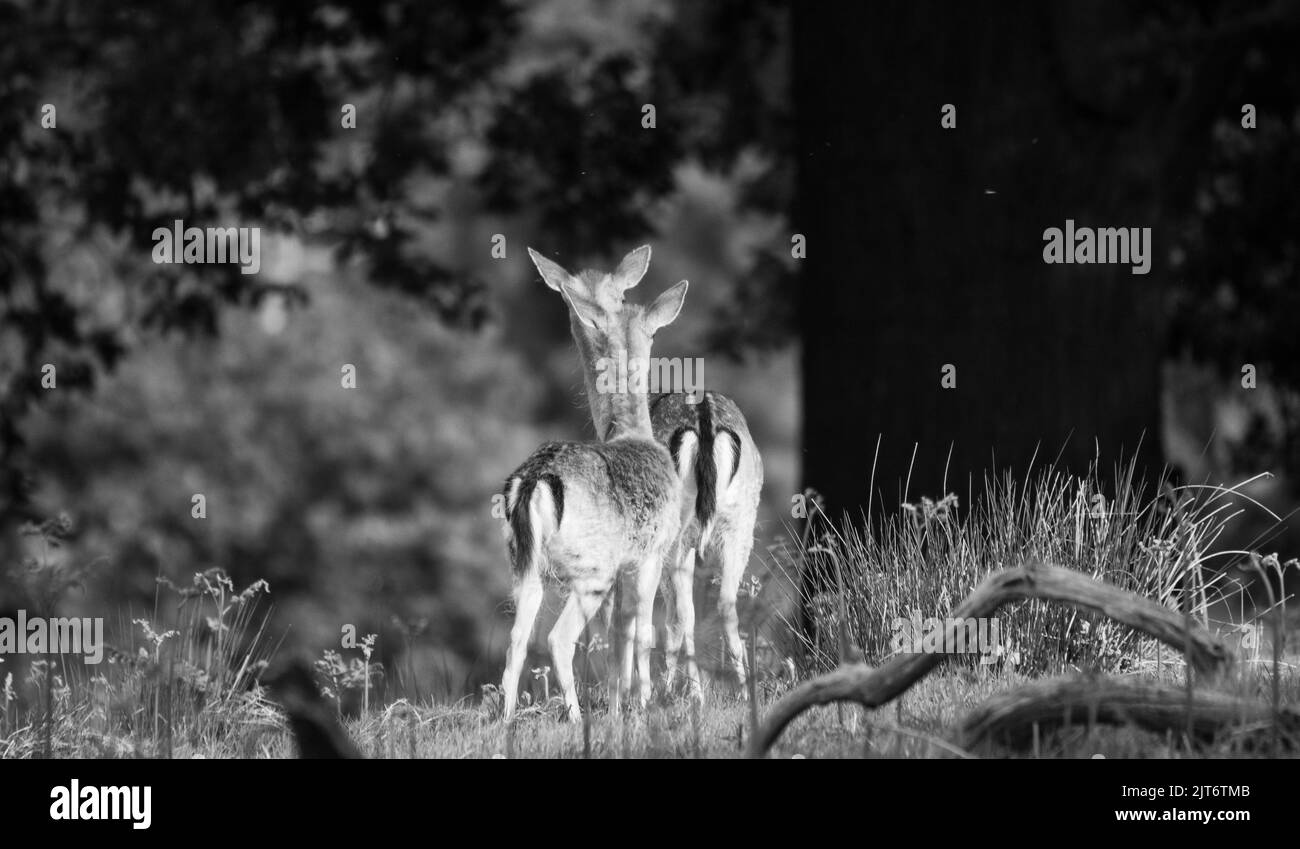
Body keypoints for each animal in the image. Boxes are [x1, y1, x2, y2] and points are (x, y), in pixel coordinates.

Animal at [500, 246, 689, 722]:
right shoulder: (649, 554)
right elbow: (644, 632)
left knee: (515, 642)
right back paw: (576, 718)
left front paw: (622, 705)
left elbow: (618, 637)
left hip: (525, 567)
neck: (633, 432)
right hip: (591, 570)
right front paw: (641, 705)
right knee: (557, 639)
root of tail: (535, 482)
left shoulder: (625, 568)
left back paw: (505, 722)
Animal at [528, 247, 763, 703]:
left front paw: (629, 694)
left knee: (674, 615)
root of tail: (706, 421)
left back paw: (685, 693)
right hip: (742, 517)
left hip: (678, 536)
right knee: (723, 603)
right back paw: (741, 694)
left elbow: (627, 621)